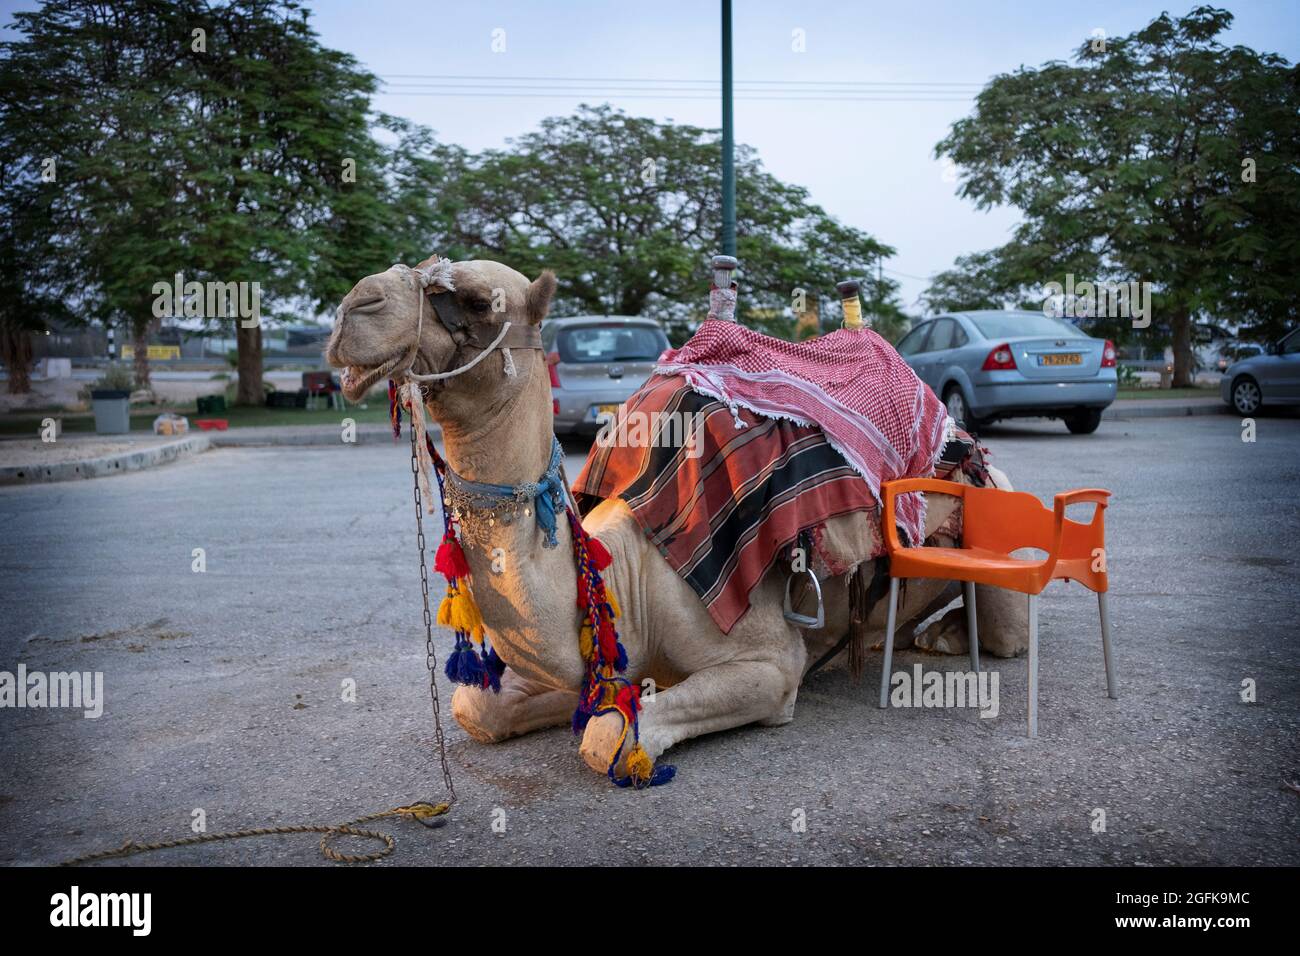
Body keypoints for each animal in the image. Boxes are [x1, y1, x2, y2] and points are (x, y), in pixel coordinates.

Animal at [327, 255, 1028, 781]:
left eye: (476, 301)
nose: (353, 306)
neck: (626, 579)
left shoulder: (769, 662)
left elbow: (608, 739)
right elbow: (475, 704)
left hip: (999, 518)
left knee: (1006, 632)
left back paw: (948, 638)